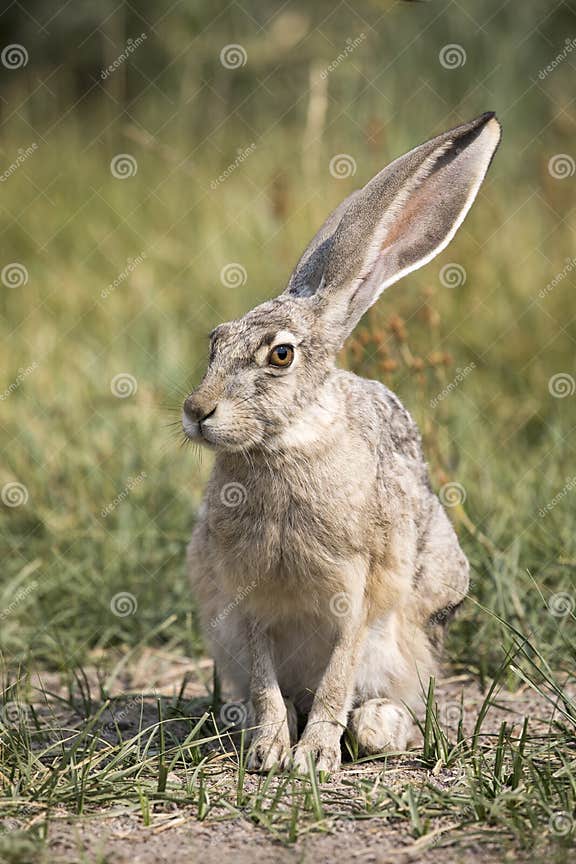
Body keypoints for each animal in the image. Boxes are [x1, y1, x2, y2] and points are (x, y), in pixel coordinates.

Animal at [182, 112, 501, 773]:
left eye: (281, 355)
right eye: (215, 342)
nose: (196, 412)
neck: (282, 446)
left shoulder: (356, 591)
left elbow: (338, 672)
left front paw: (313, 758)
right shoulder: (243, 600)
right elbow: (263, 681)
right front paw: (272, 751)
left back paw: (376, 726)